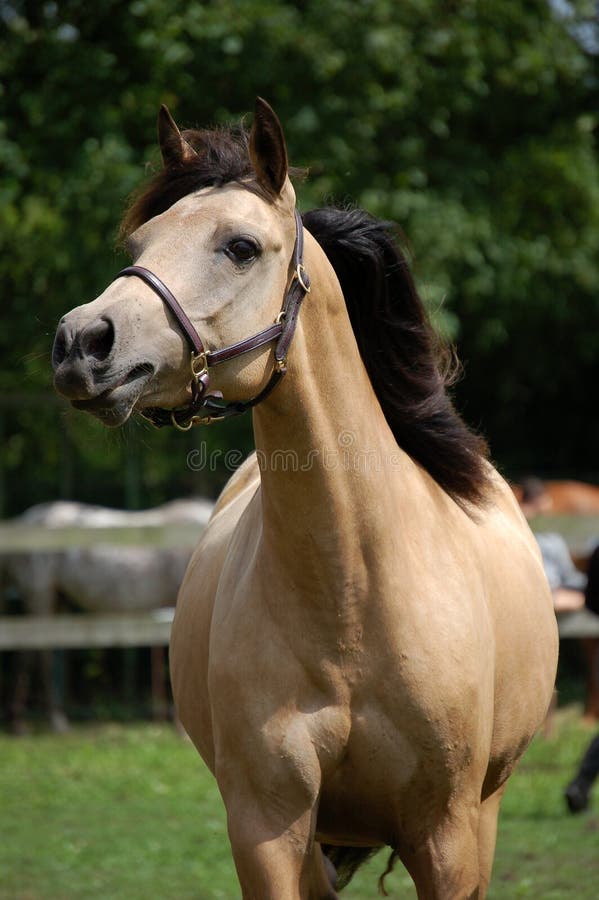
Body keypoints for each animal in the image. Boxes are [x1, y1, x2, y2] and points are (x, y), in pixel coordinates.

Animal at [51, 98, 558, 898]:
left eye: (239, 246)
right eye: (139, 240)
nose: (81, 342)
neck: (350, 593)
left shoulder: (447, 838)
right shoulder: (268, 830)